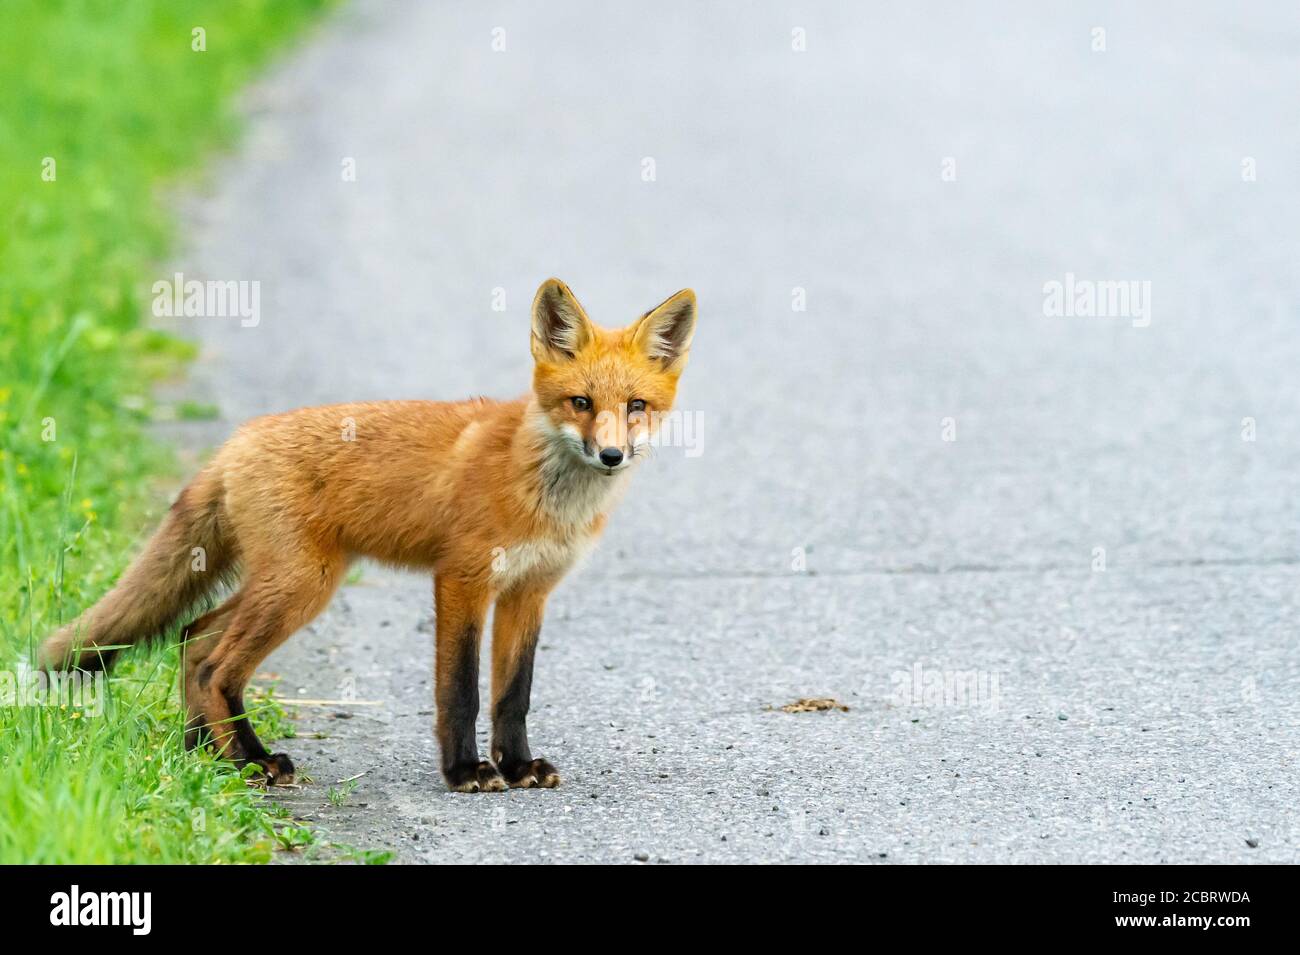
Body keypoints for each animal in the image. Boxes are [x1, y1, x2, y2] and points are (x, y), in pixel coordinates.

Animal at [39, 278, 696, 792]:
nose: (611, 455)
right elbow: (461, 689)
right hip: (304, 585)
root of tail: (236, 440)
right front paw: (465, 772)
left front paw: (517, 767)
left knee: (193, 637)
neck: (543, 492)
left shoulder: (529, 590)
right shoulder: (462, 578)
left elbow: (514, 693)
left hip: (281, 583)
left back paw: (207, 754)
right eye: (580, 401)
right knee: (214, 667)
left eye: (636, 405)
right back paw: (252, 760)